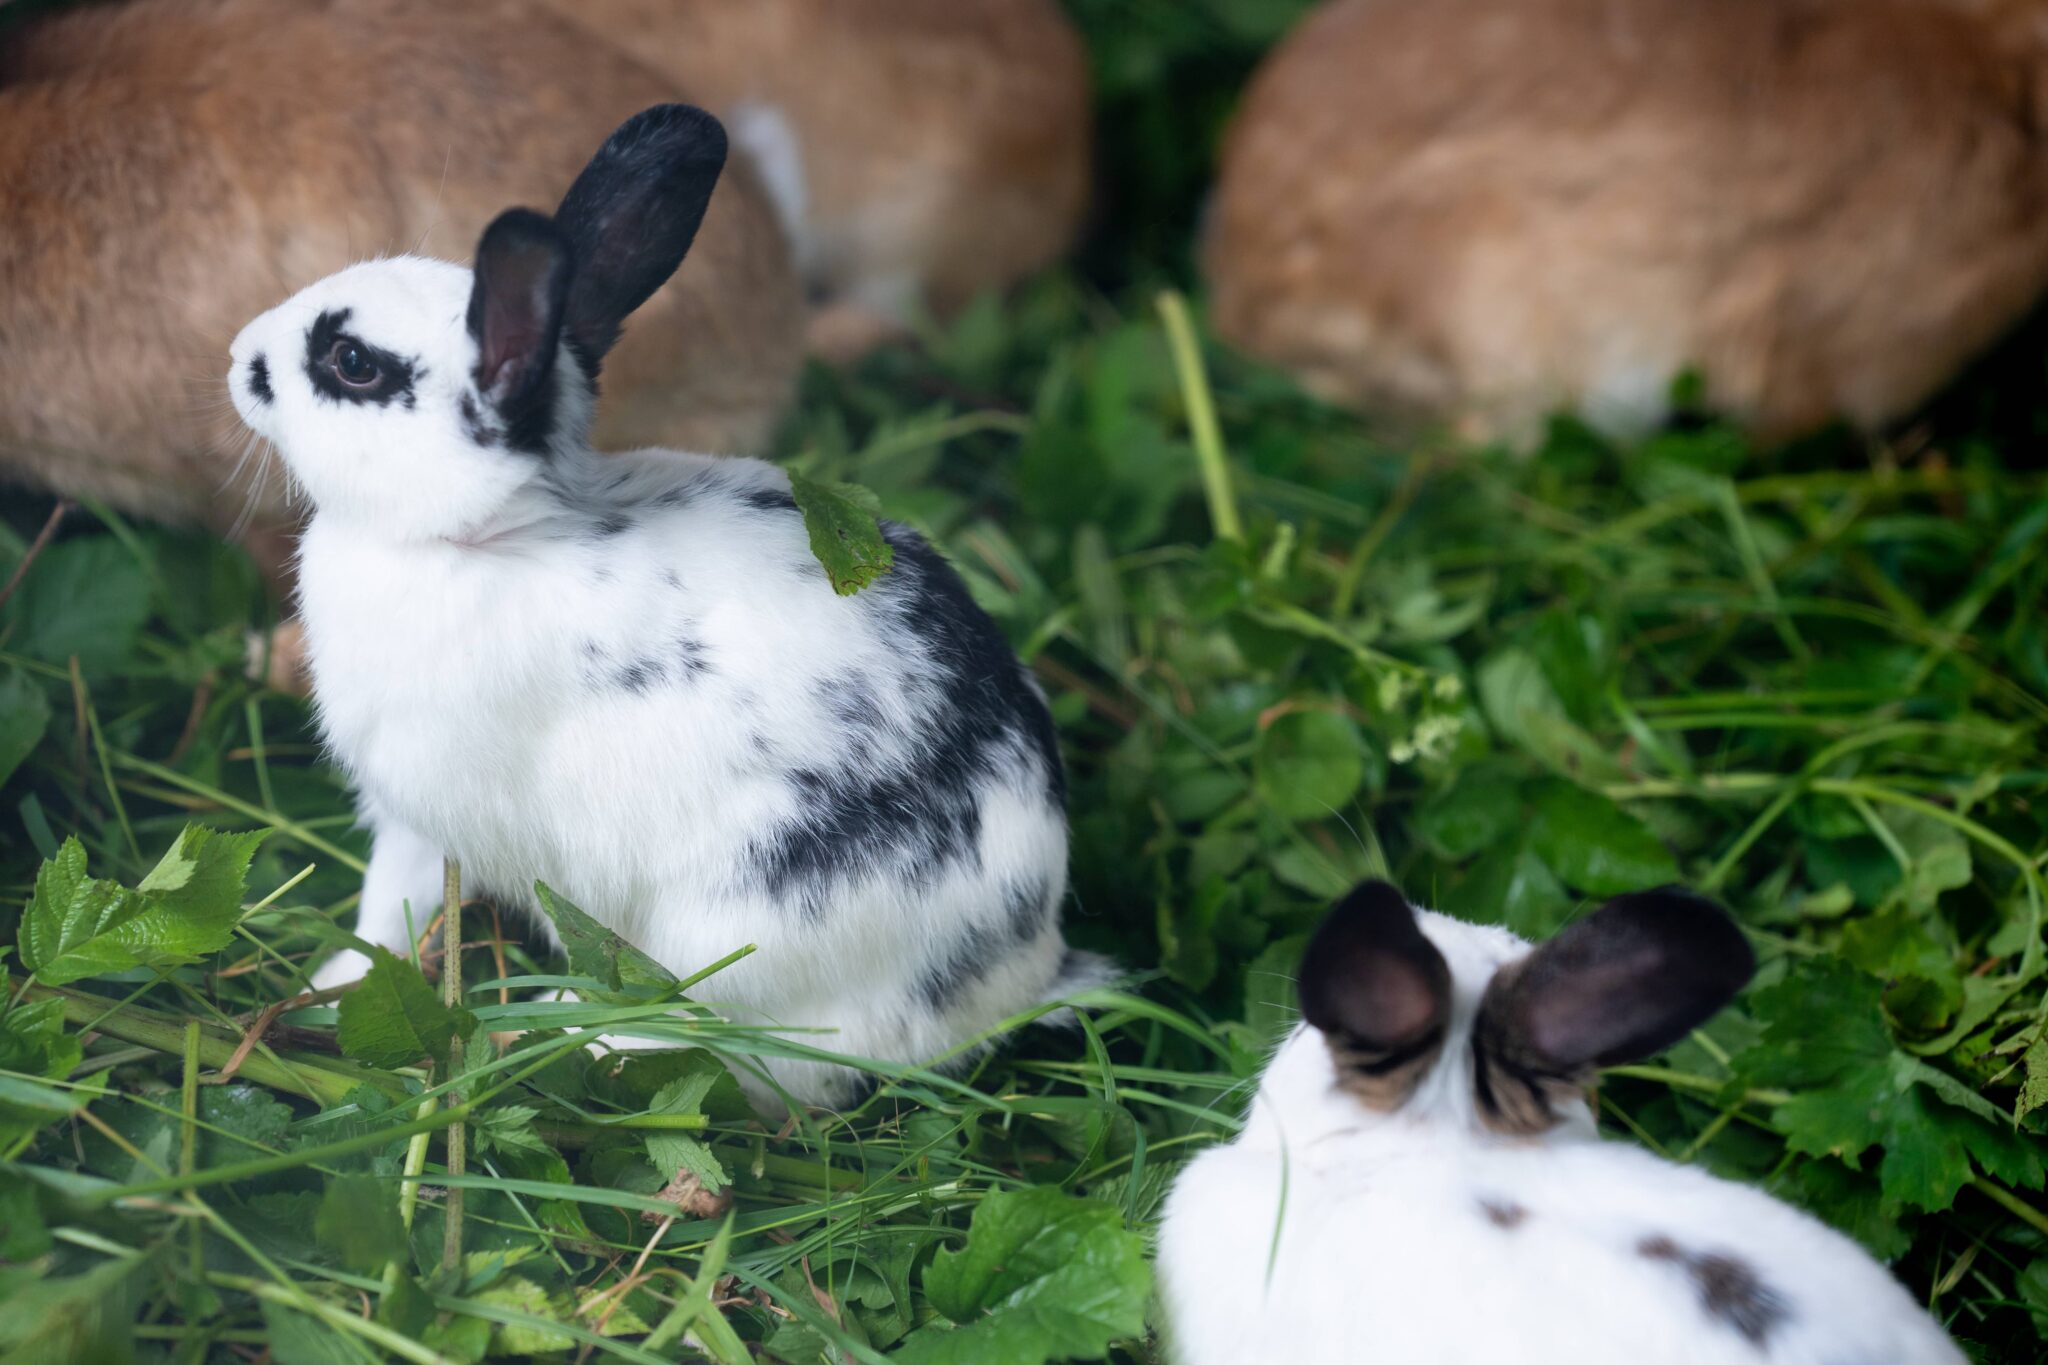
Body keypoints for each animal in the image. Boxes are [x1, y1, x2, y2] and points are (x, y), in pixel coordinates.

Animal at [225, 103, 1095, 1109]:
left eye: (351, 361)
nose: (238, 356)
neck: (485, 538)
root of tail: (1012, 975)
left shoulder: (433, 808)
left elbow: (393, 900)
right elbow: (386, 918)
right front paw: (331, 986)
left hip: (730, 940)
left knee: (732, 1052)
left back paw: (558, 1032)